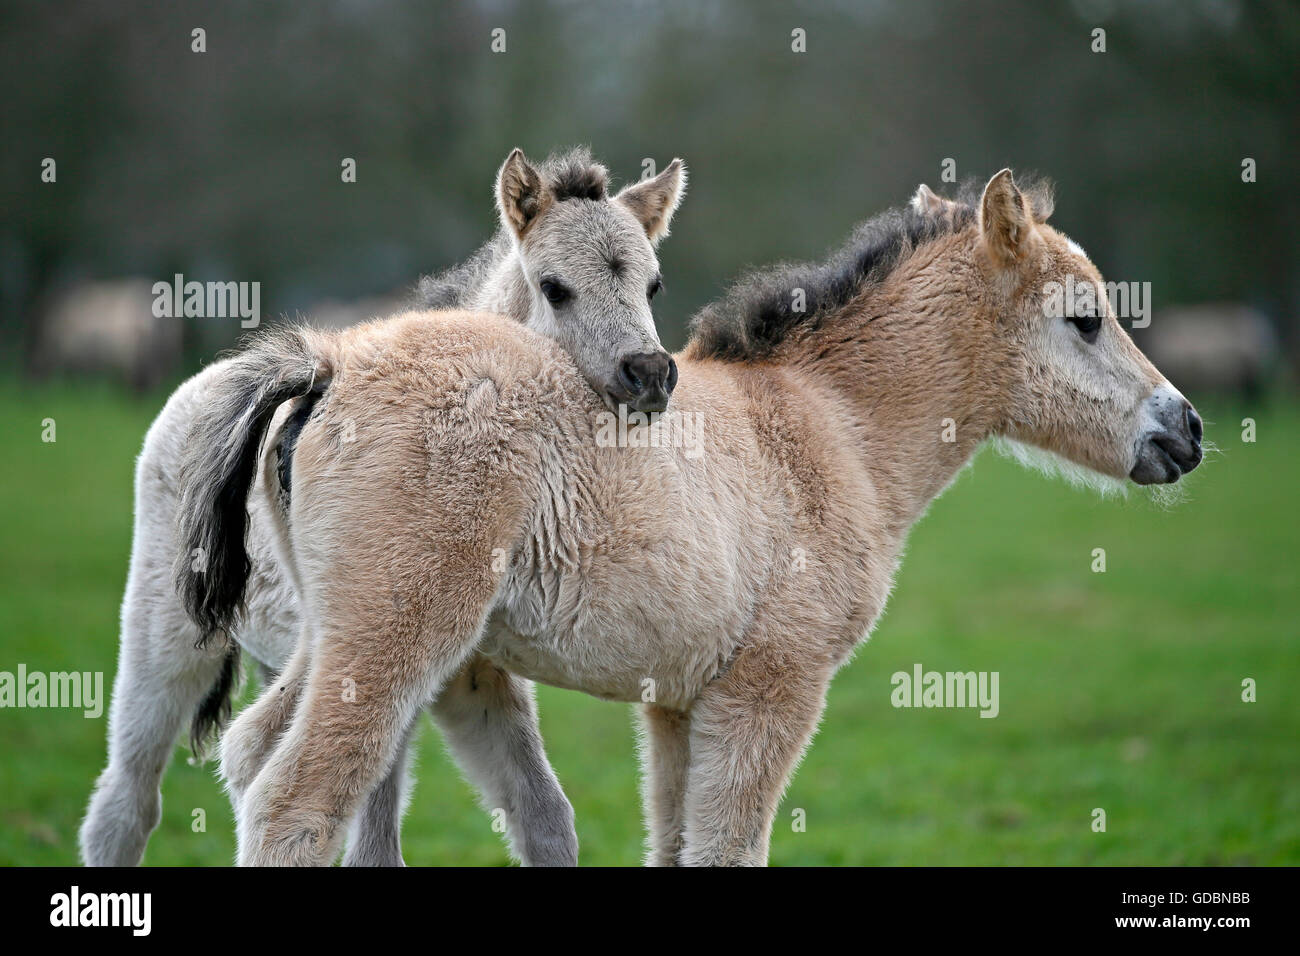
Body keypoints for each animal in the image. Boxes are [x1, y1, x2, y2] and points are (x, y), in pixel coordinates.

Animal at [79, 147, 687, 867]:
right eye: (553, 287)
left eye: (654, 286)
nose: (649, 374)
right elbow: (373, 840)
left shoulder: (472, 677)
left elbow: (544, 815)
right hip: (166, 634)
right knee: (127, 798)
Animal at [182, 169, 1204, 865]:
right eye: (1083, 317)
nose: (1186, 428)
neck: (830, 425)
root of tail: (330, 364)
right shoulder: (770, 693)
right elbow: (727, 851)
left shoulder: (677, 707)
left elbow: (674, 849)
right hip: (392, 639)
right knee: (293, 801)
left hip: (336, 636)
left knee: (249, 755)